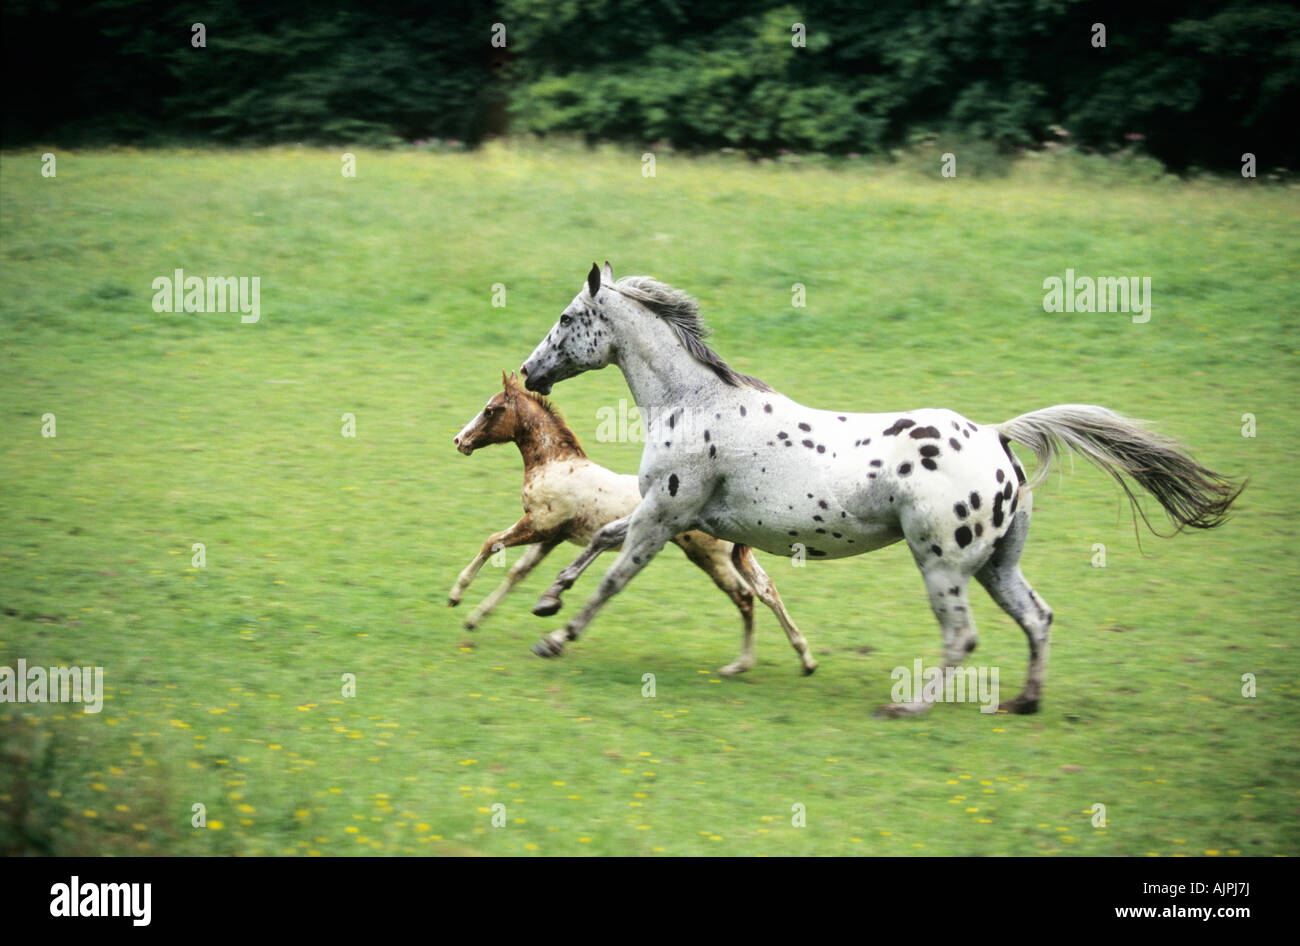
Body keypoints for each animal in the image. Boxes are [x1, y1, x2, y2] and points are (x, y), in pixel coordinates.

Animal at [449, 371, 818, 676]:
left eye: (490, 409)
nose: (459, 441)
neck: (555, 464)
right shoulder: (551, 536)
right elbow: (518, 573)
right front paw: (477, 618)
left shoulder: (538, 525)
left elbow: (491, 542)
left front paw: (456, 597)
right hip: (735, 555)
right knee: (767, 591)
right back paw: (804, 659)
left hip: (708, 556)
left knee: (744, 597)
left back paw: (741, 664)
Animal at [518, 262, 1244, 717]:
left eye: (567, 316)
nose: (529, 372)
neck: (692, 403)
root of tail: (997, 436)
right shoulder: (665, 515)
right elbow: (600, 539)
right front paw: (548, 602)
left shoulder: (666, 515)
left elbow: (616, 575)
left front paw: (556, 638)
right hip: (998, 566)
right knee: (1037, 617)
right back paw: (1024, 702)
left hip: (942, 565)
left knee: (963, 638)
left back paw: (907, 706)